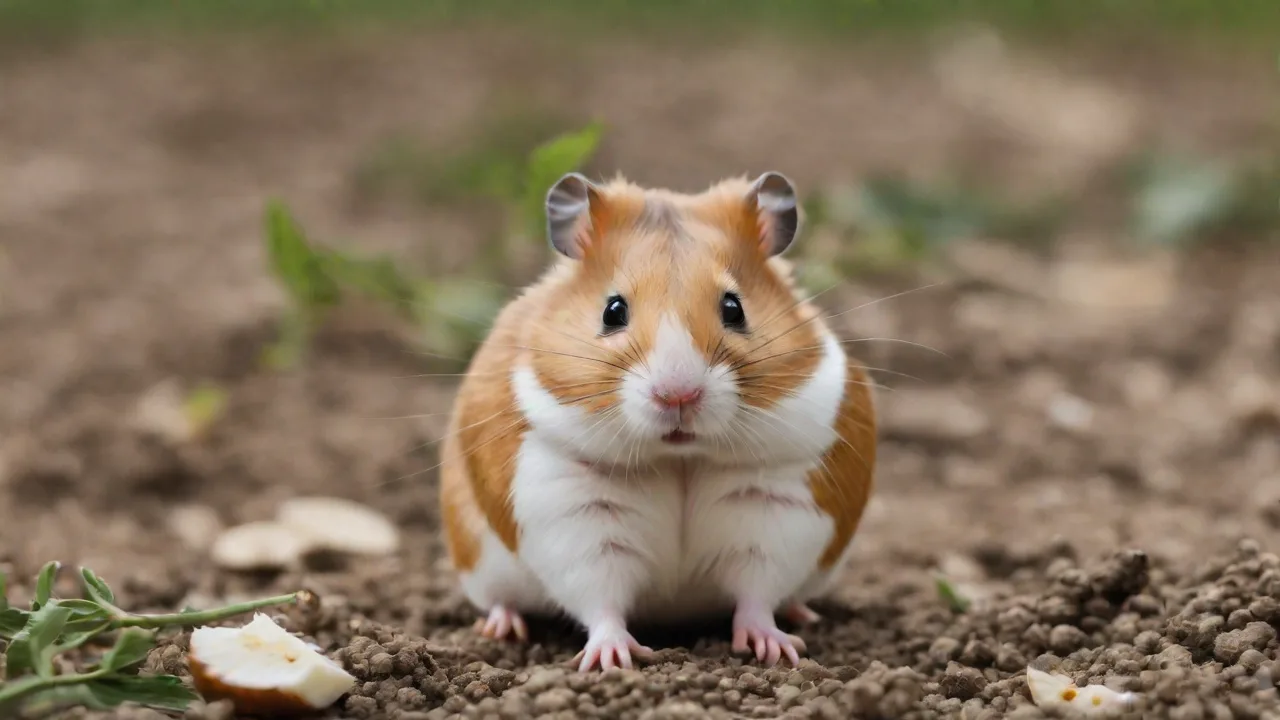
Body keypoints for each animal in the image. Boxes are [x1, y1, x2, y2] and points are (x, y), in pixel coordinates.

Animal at [439, 171, 877, 672]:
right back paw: (502, 627)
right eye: (612, 311)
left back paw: (803, 615)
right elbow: (600, 597)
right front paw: (612, 660)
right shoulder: (574, 514)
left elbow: (757, 593)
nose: (678, 395)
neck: (680, 456)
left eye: (734, 308)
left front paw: (777, 650)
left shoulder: (777, 508)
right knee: (501, 600)